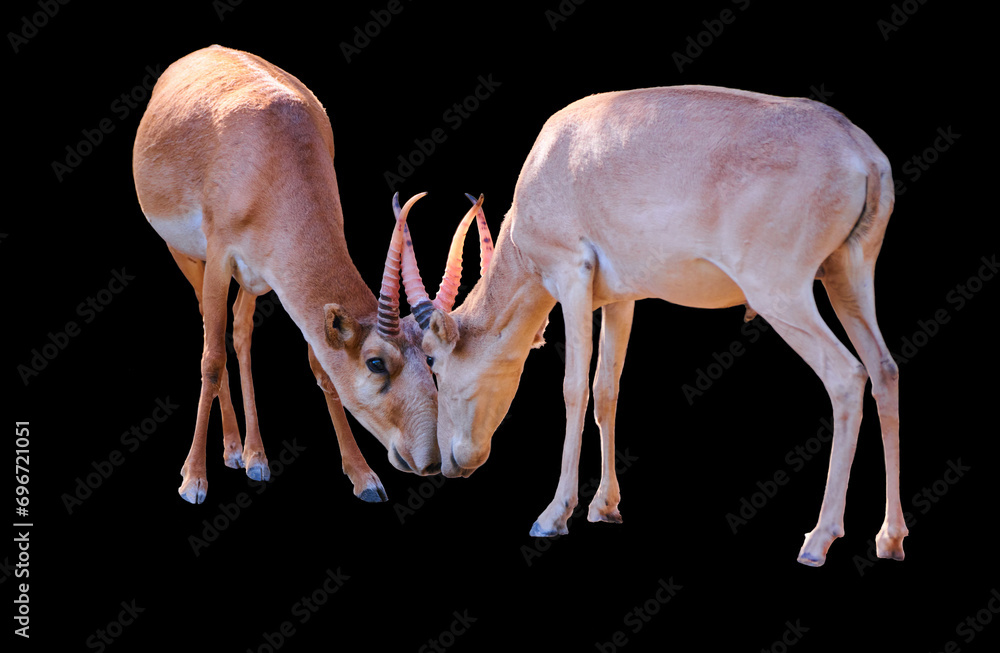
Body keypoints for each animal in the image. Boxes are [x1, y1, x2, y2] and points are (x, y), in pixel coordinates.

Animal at [132, 45, 450, 504]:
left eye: (429, 358)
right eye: (375, 363)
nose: (432, 460)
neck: (274, 150)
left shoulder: (273, 277)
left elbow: (320, 369)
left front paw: (364, 477)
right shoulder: (219, 256)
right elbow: (210, 359)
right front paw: (193, 480)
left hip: (253, 280)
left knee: (240, 330)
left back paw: (251, 455)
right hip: (188, 257)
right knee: (212, 330)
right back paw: (231, 452)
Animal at [403, 85, 905, 567]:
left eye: (433, 360)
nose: (450, 463)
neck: (556, 154)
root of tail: (860, 152)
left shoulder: (570, 276)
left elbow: (573, 389)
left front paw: (553, 515)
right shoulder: (620, 300)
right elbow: (607, 390)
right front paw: (605, 507)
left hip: (782, 295)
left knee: (847, 376)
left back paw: (818, 540)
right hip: (848, 278)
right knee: (884, 370)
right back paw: (890, 538)